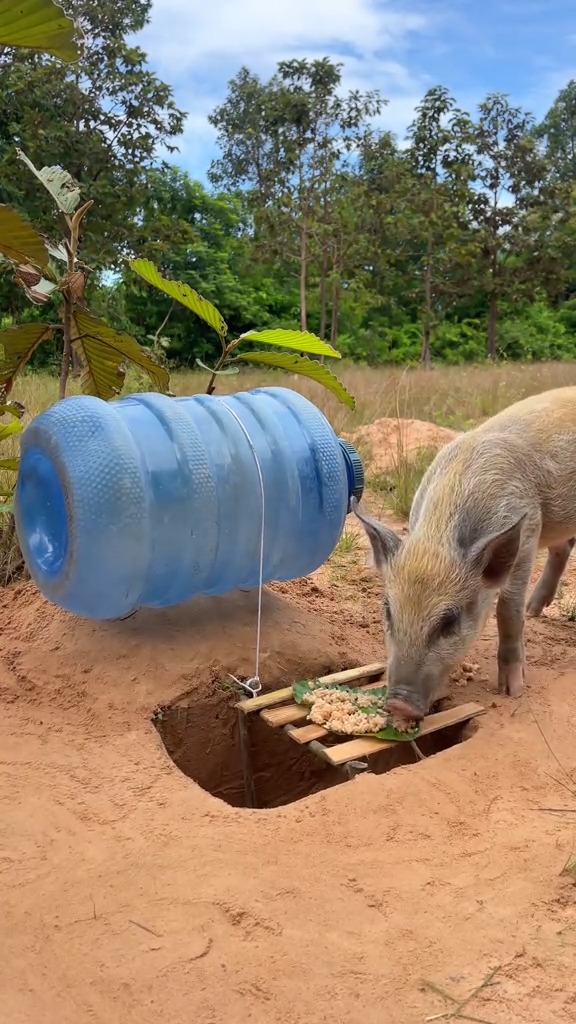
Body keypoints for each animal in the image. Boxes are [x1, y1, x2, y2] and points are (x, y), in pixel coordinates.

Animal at [352, 385, 576, 722]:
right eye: (388, 610)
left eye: (450, 621)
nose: (398, 704)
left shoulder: (527, 533)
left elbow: (508, 611)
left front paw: (512, 691)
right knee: (562, 547)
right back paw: (535, 611)